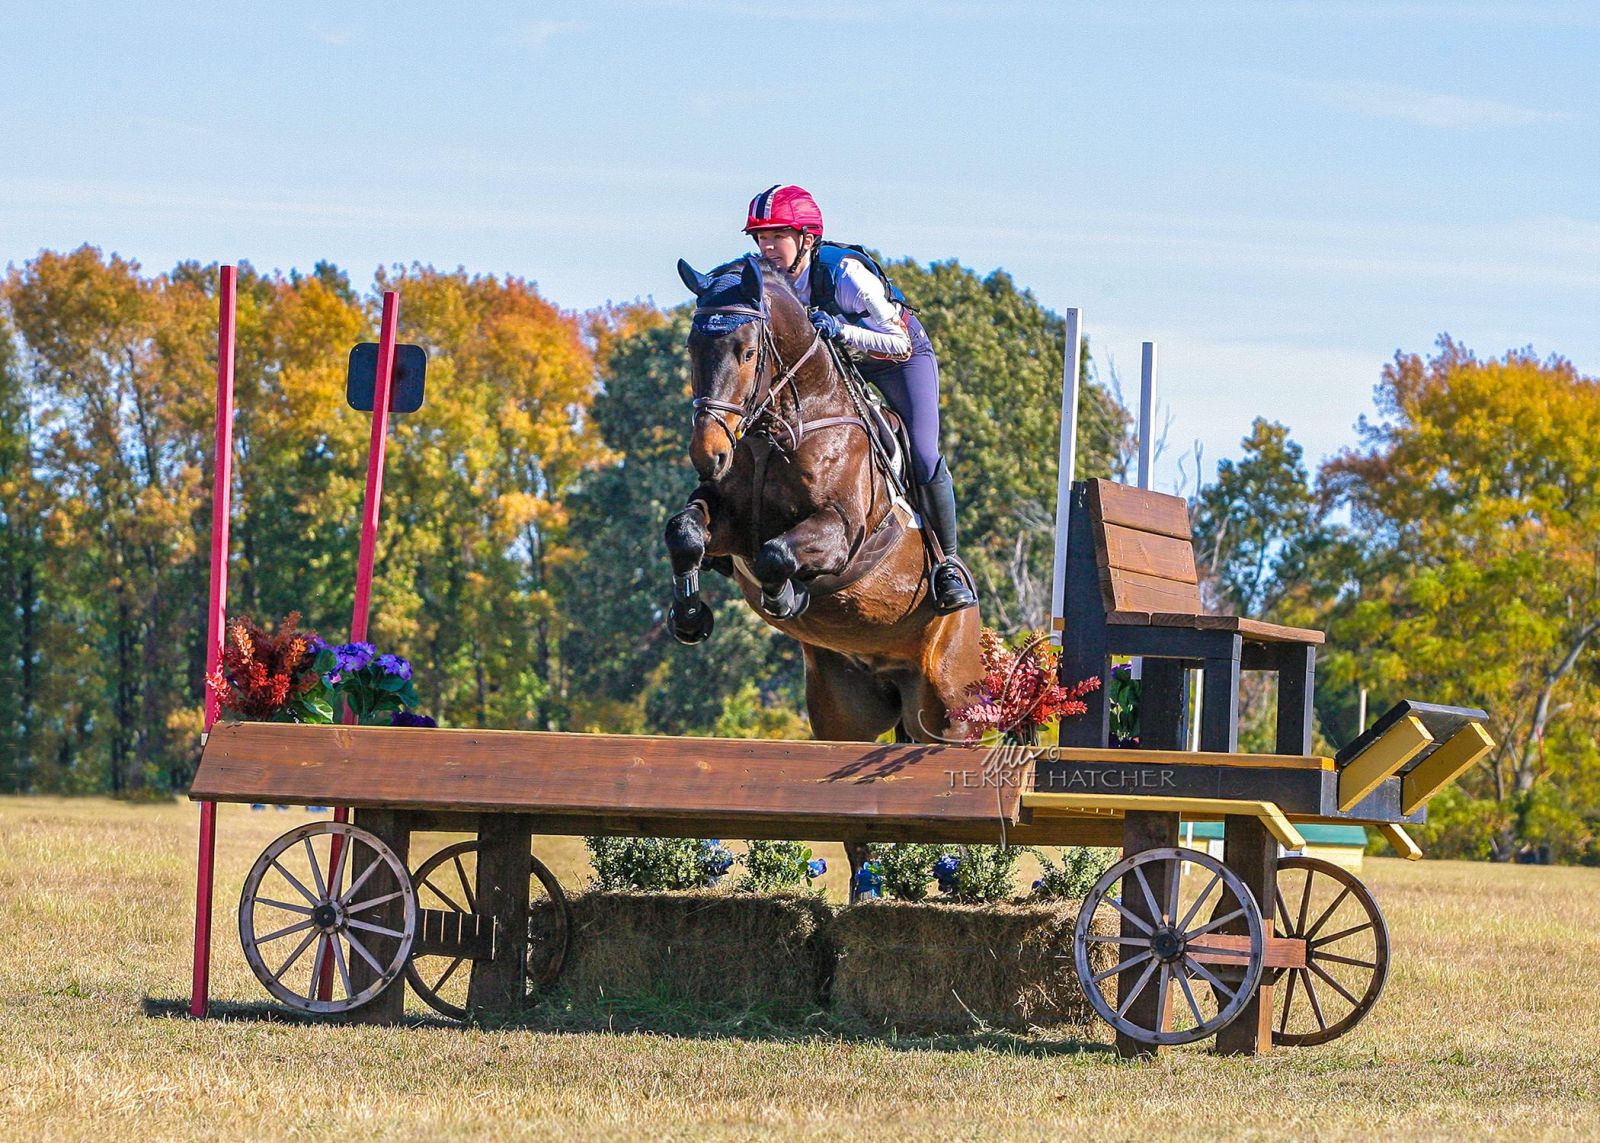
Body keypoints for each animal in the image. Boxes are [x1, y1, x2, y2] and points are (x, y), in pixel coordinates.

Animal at [663, 253, 982, 746]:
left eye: (748, 352)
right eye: (692, 348)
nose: (708, 453)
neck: (784, 422)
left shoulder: (841, 531)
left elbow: (776, 554)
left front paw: (785, 599)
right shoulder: (730, 524)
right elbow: (684, 533)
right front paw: (690, 617)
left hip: (949, 710)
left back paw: (951, 583)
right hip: (846, 714)